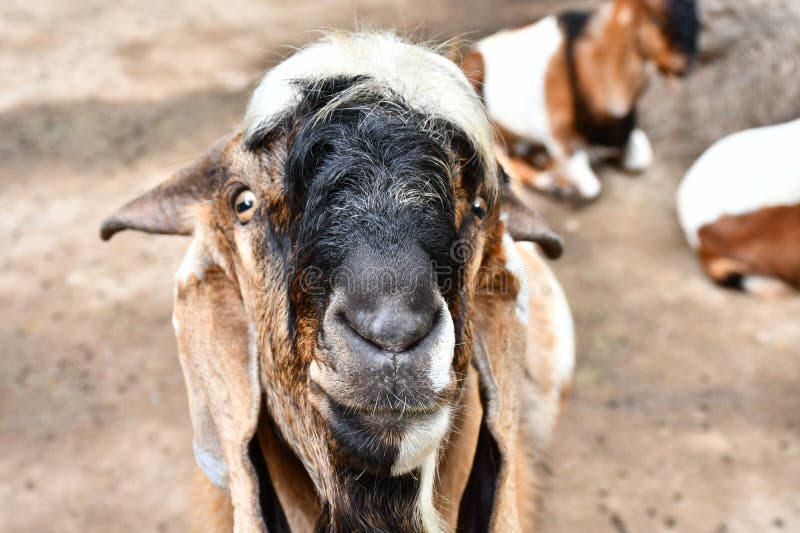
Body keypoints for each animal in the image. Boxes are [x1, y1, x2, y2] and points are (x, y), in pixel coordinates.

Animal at [463, 0, 699, 200]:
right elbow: (591, 186)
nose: (685, 63)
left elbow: (641, 159)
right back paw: (548, 181)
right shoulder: (560, 136)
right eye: (656, 18)